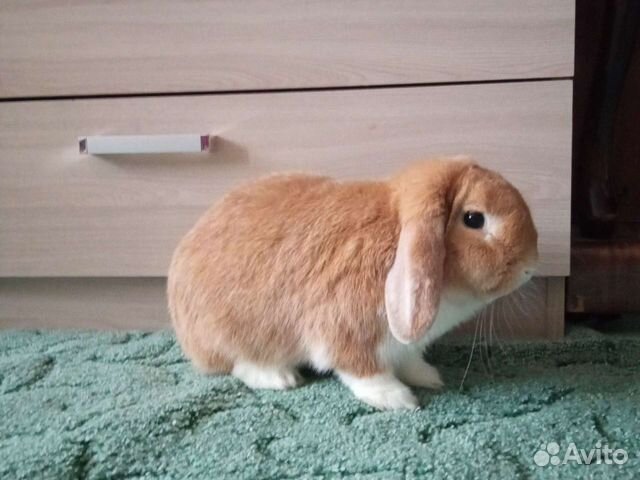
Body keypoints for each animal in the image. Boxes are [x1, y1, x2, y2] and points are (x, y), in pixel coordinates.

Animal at [168, 157, 538, 410]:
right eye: (474, 218)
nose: (530, 267)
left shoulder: (403, 341)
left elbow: (409, 360)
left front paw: (428, 377)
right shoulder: (347, 332)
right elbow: (362, 370)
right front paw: (397, 398)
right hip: (235, 333)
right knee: (238, 364)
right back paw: (280, 378)